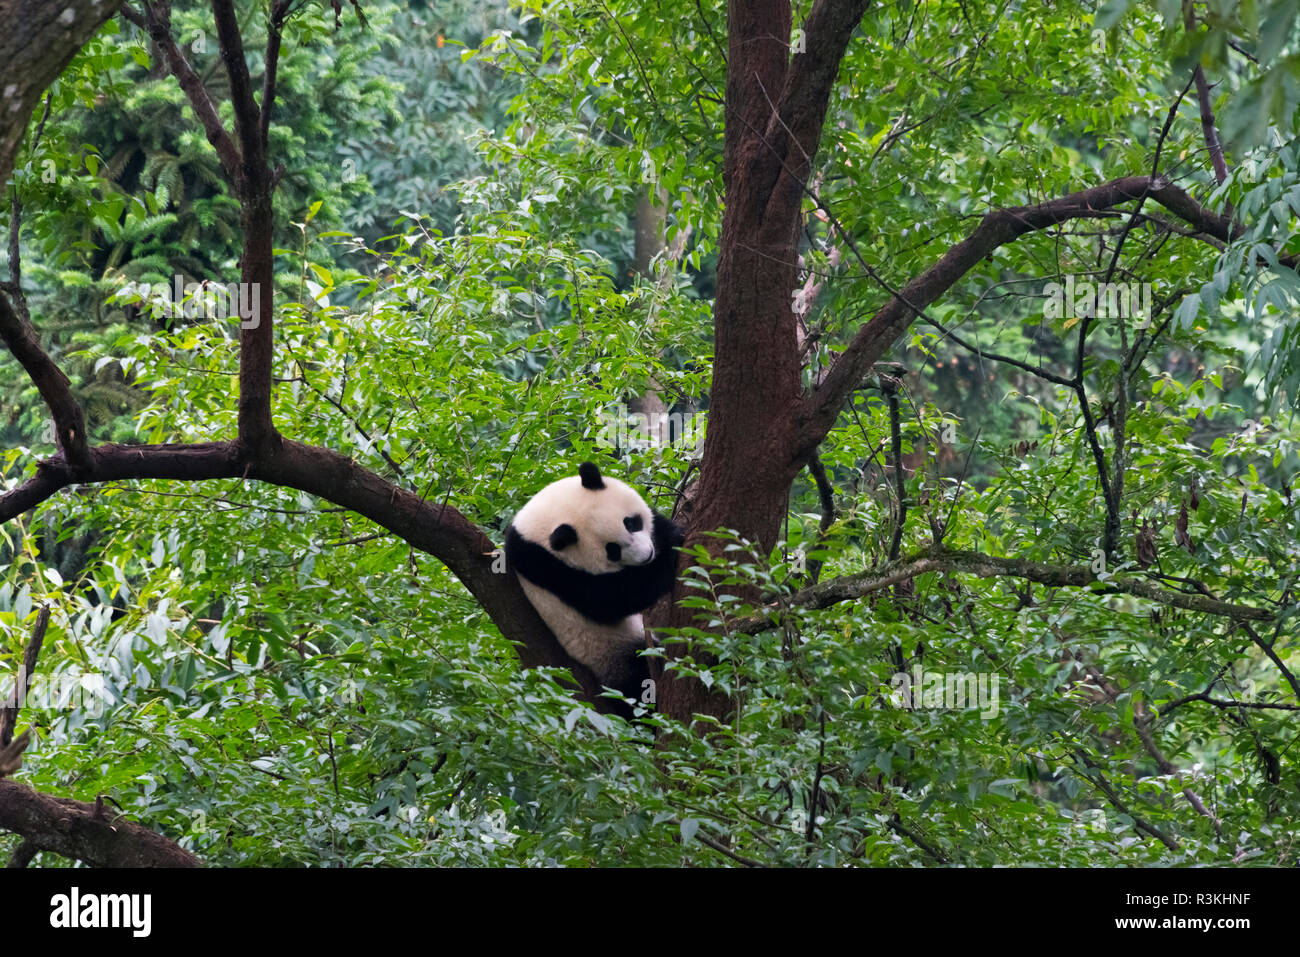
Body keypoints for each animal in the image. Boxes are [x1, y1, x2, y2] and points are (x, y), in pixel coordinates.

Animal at [505, 462, 685, 708]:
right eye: (612, 550)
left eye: (630, 523)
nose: (648, 554)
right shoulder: (546, 567)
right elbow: (612, 599)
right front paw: (670, 551)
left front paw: (669, 534)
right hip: (610, 652)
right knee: (636, 680)